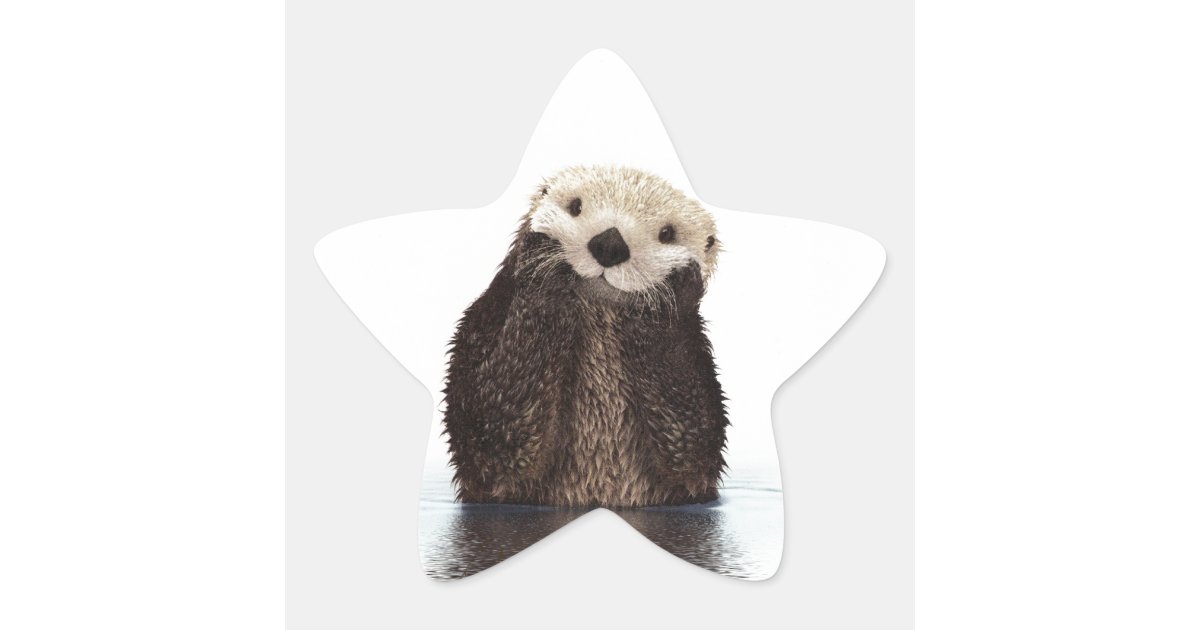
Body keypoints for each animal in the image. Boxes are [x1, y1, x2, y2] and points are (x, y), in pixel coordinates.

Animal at [442, 165, 727, 507]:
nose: (610, 244)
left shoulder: (696, 361)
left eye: (667, 233)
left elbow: (692, 444)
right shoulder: (484, 323)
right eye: (575, 206)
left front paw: (670, 291)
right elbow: (493, 429)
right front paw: (543, 261)